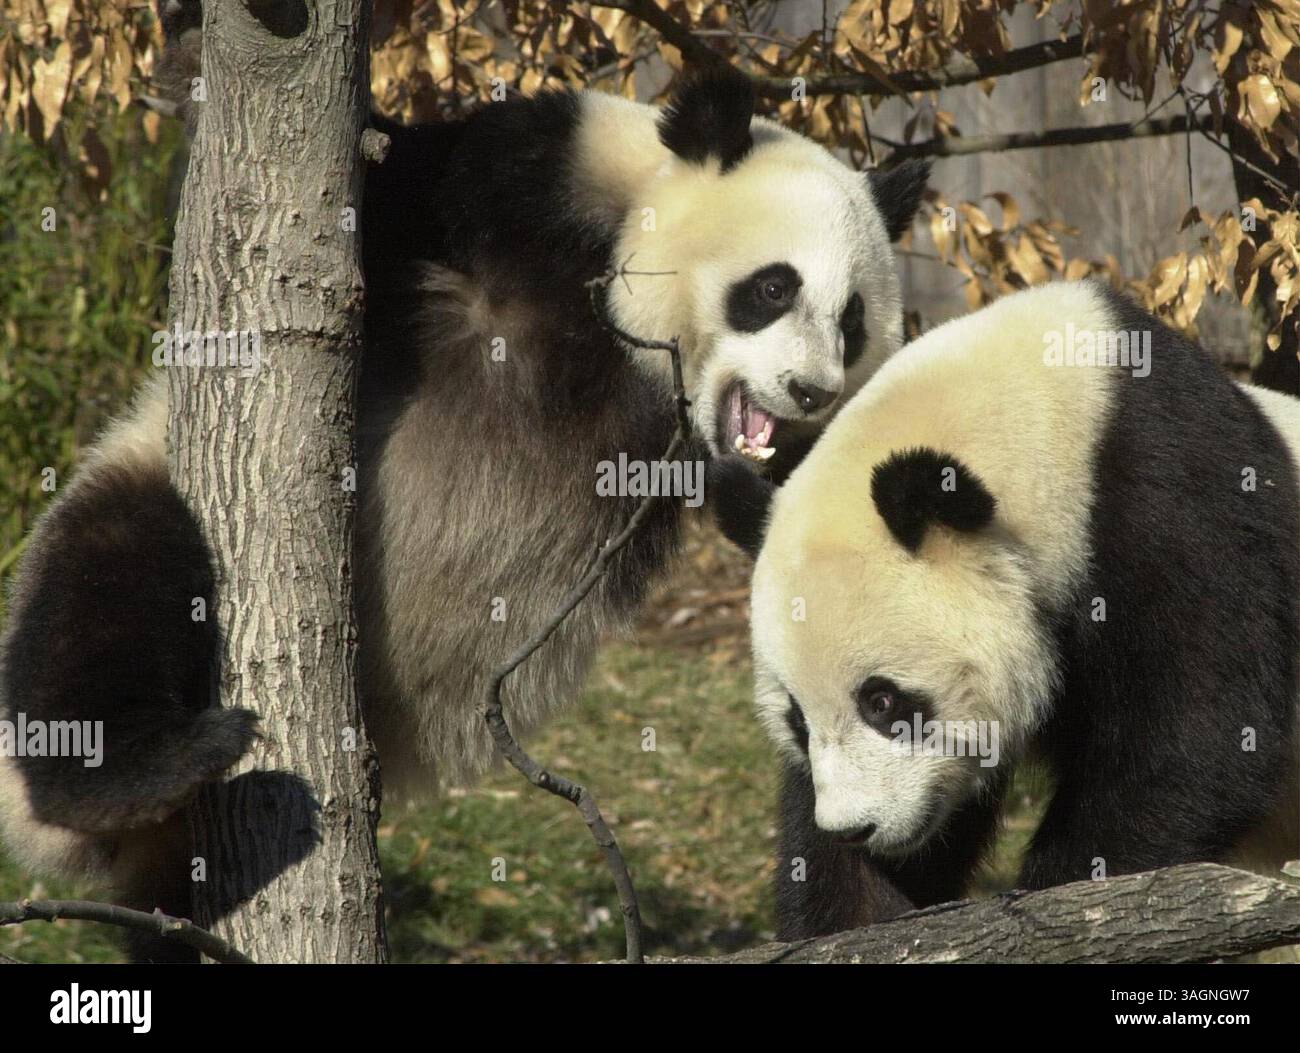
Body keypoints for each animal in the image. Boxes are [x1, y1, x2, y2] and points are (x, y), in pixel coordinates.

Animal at [0, 31, 930, 958]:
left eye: (852, 319)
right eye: (773, 287)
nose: (811, 390)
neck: (624, 339)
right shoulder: (521, 181)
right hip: (150, 475)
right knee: (113, 575)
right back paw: (135, 768)